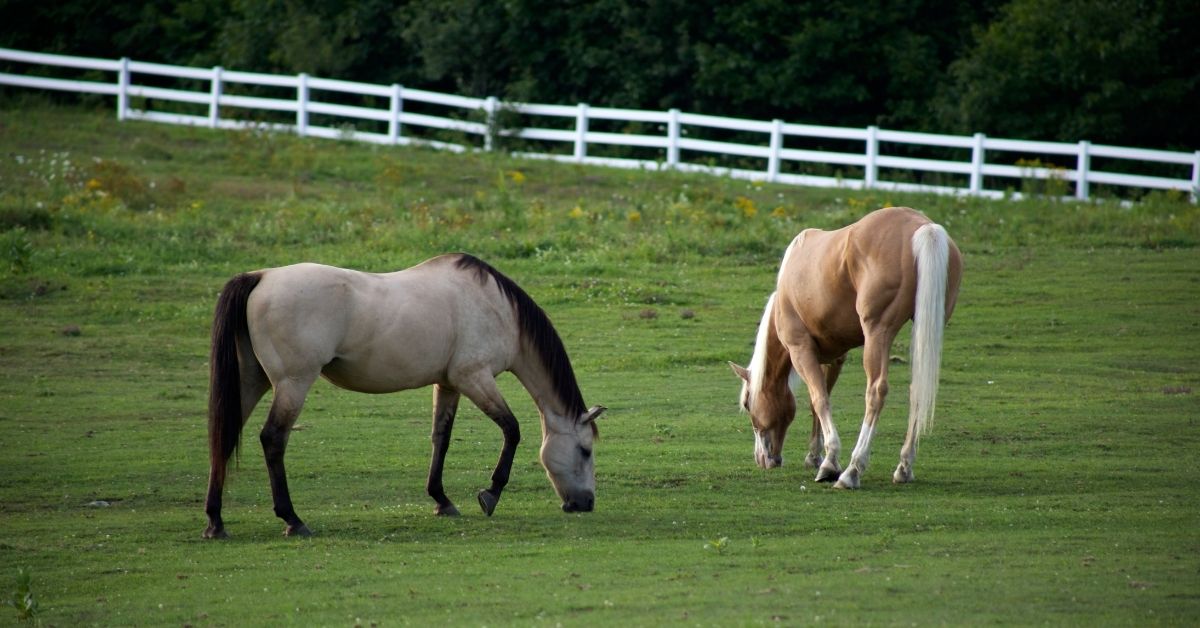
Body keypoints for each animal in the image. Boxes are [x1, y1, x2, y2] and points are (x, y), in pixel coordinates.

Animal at [204, 253, 605, 538]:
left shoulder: (449, 384)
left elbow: (441, 438)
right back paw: (292, 519)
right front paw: (490, 493)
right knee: (273, 439)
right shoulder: (474, 377)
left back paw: (215, 522)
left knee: (224, 436)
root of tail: (261, 277)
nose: (586, 503)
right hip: (292, 383)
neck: (497, 307)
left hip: (251, 381)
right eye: (585, 450)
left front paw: (441, 500)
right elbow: (512, 429)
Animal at [729, 207, 961, 489]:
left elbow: (819, 400)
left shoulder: (801, 350)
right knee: (917, 390)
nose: (763, 459)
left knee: (876, 392)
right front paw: (814, 456)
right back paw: (904, 467)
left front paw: (829, 463)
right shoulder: (834, 357)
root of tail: (923, 227)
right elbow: (818, 401)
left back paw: (852, 470)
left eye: (747, 404)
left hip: (877, 334)